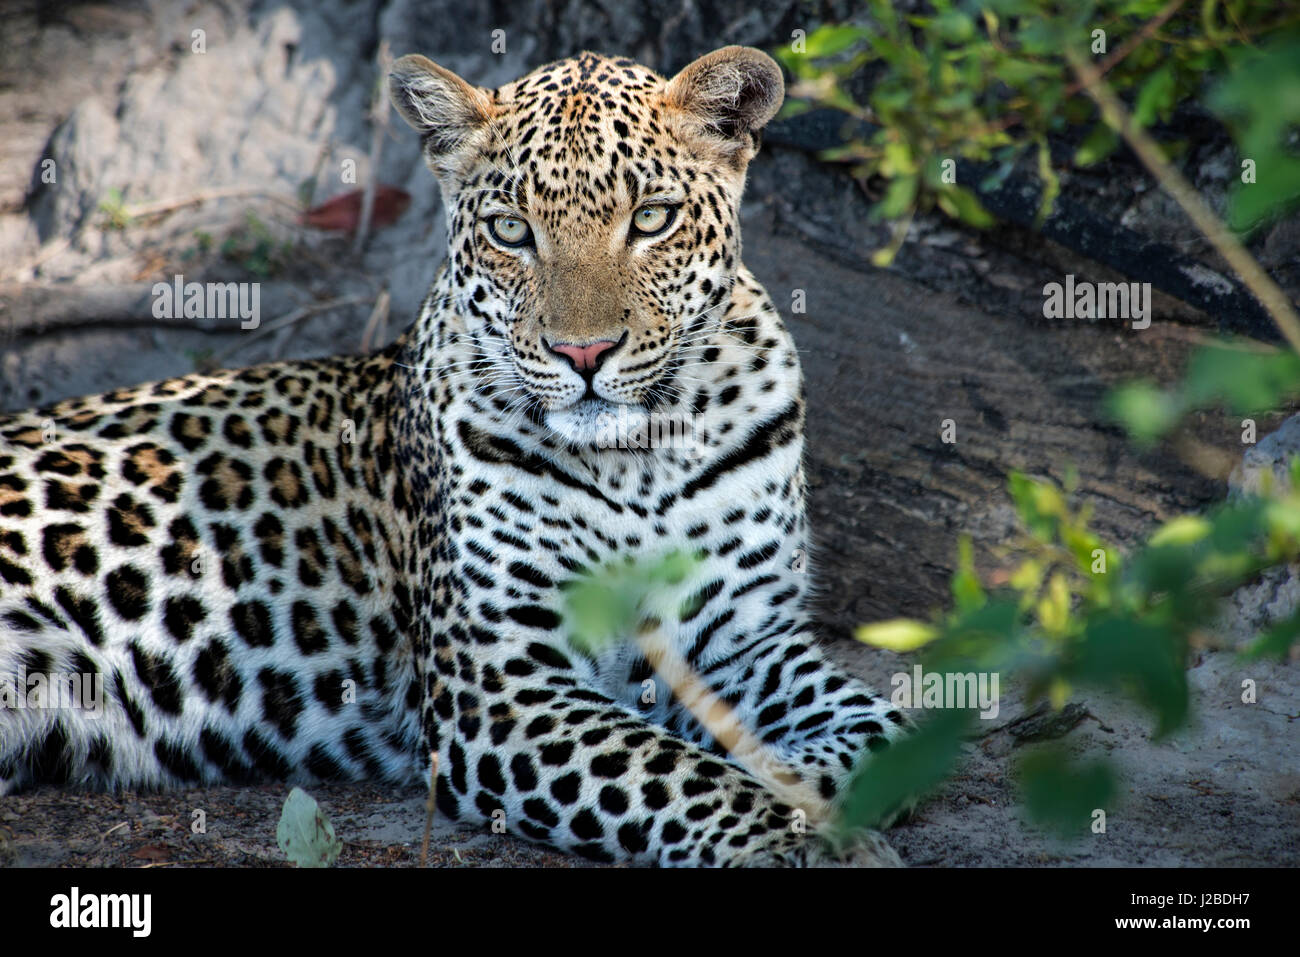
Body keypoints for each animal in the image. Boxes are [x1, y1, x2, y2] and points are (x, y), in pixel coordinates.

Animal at [0, 46, 910, 866]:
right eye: (512, 231)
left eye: (651, 218)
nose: (584, 353)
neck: (639, 457)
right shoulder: (501, 685)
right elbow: (676, 772)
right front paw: (795, 840)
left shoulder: (747, 637)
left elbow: (878, 732)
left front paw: (805, 792)